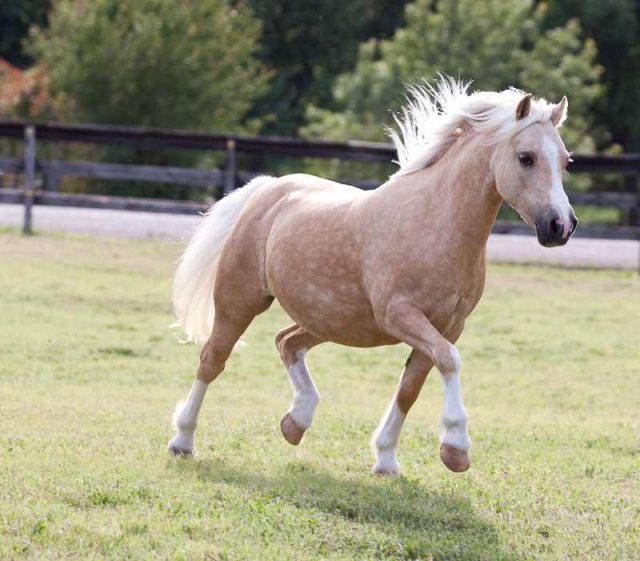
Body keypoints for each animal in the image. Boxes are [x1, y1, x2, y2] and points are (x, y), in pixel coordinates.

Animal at [168, 78, 577, 475]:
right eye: (526, 158)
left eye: (565, 162)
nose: (561, 226)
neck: (434, 222)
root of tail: (268, 189)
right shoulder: (401, 314)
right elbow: (449, 361)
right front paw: (456, 447)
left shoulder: (447, 325)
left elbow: (410, 388)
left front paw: (386, 460)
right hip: (241, 300)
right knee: (213, 359)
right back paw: (183, 440)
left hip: (331, 319)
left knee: (286, 342)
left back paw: (296, 422)